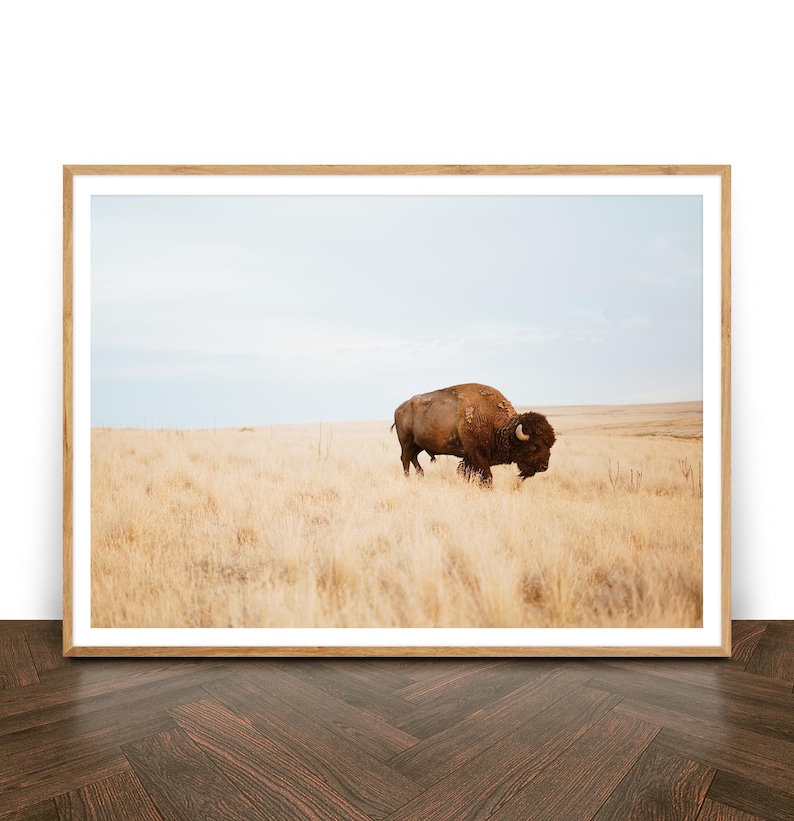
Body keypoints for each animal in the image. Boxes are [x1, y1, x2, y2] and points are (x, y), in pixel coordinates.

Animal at [391, 383, 556, 486]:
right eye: (533, 446)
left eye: (550, 445)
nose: (544, 466)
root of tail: (399, 409)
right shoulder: (477, 455)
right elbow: (487, 476)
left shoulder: (469, 458)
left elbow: (467, 473)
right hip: (406, 442)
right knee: (405, 459)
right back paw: (409, 479)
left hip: (418, 444)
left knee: (413, 458)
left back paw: (421, 475)